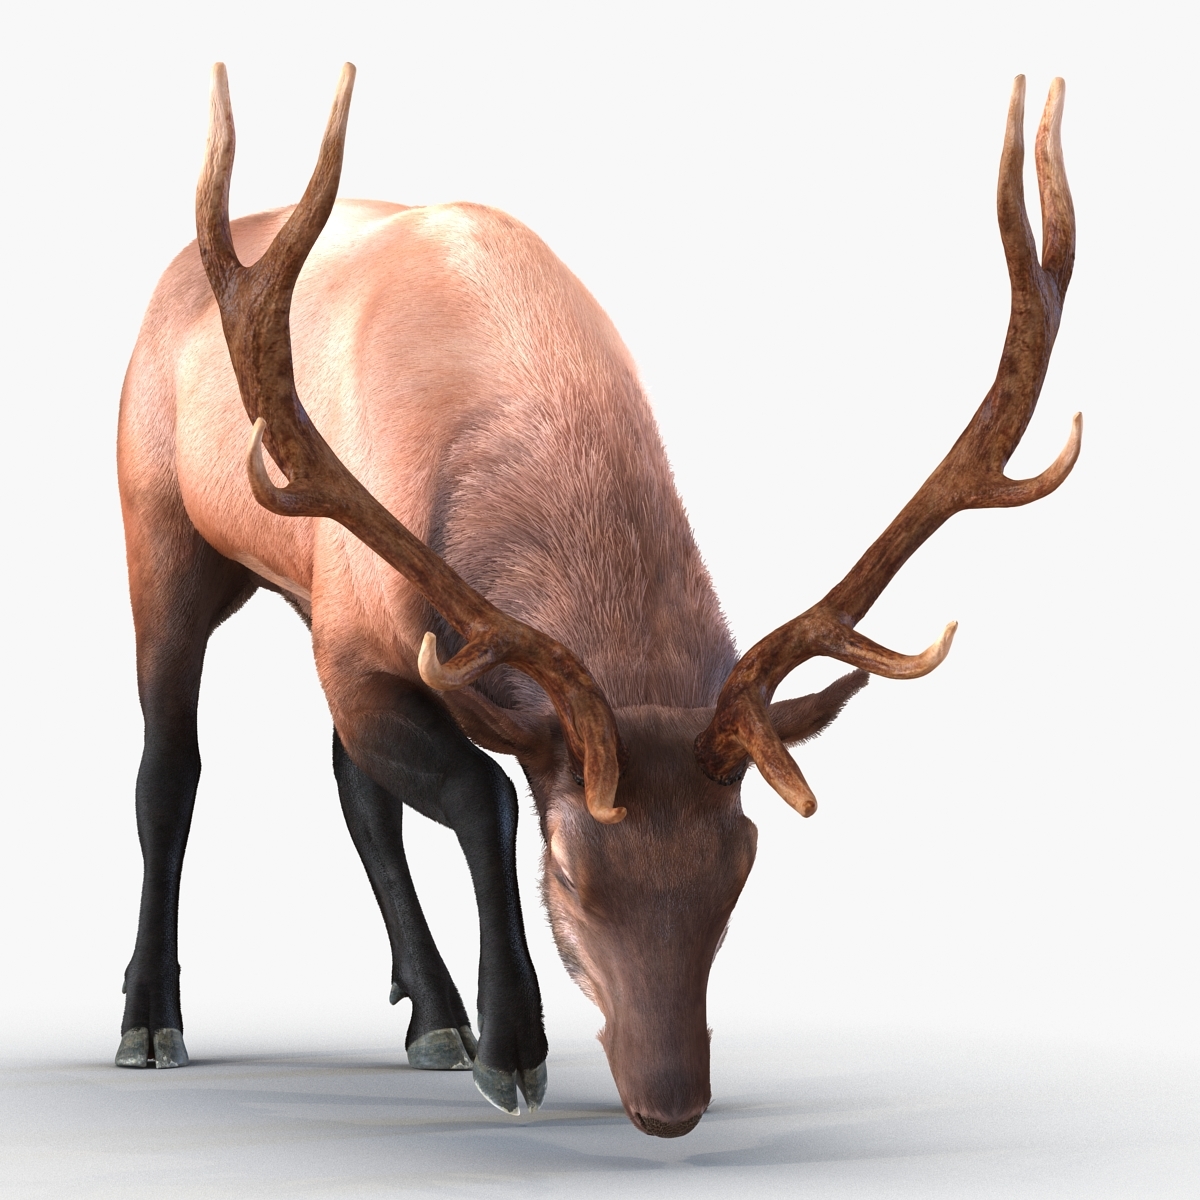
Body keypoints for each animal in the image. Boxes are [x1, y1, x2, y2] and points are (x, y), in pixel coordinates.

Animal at [115, 63, 1079, 1138]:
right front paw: (514, 1047)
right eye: (569, 876)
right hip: (160, 523)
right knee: (170, 765)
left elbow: (388, 787)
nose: (671, 1105)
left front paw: (478, 1029)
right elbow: (487, 794)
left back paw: (433, 1016)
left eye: (741, 865)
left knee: (354, 789)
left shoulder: (354, 635)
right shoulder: (363, 639)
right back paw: (152, 1018)